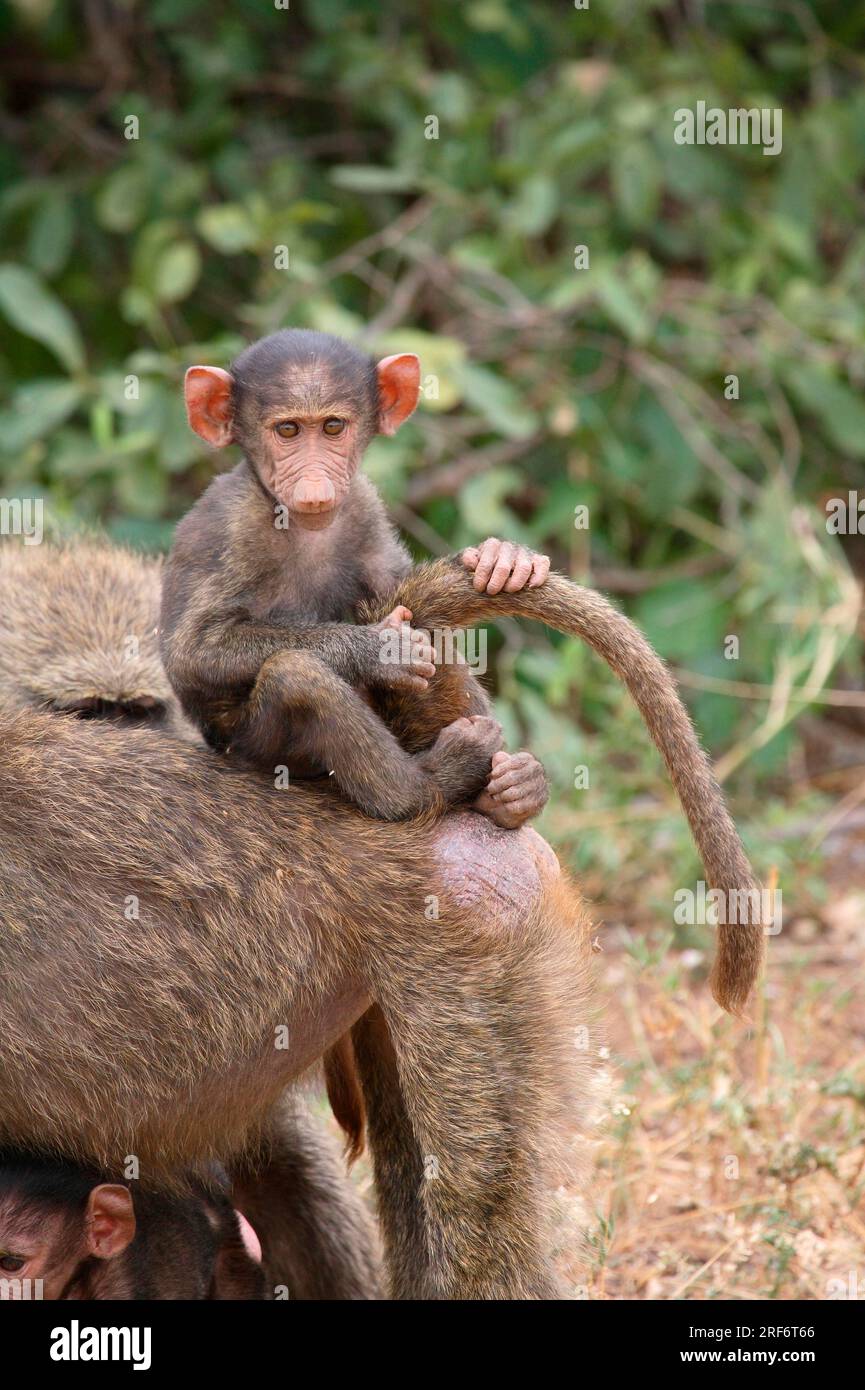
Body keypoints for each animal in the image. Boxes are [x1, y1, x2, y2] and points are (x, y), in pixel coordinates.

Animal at [160, 329, 550, 829]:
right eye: (287, 430)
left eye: (332, 427)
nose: (314, 484)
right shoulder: (223, 523)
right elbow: (192, 653)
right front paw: (380, 650)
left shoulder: (365, 505)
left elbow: (398, 587)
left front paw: (503, 557)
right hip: (255, 751)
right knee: (297, 677)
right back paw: (429, 783)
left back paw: (512, 792)